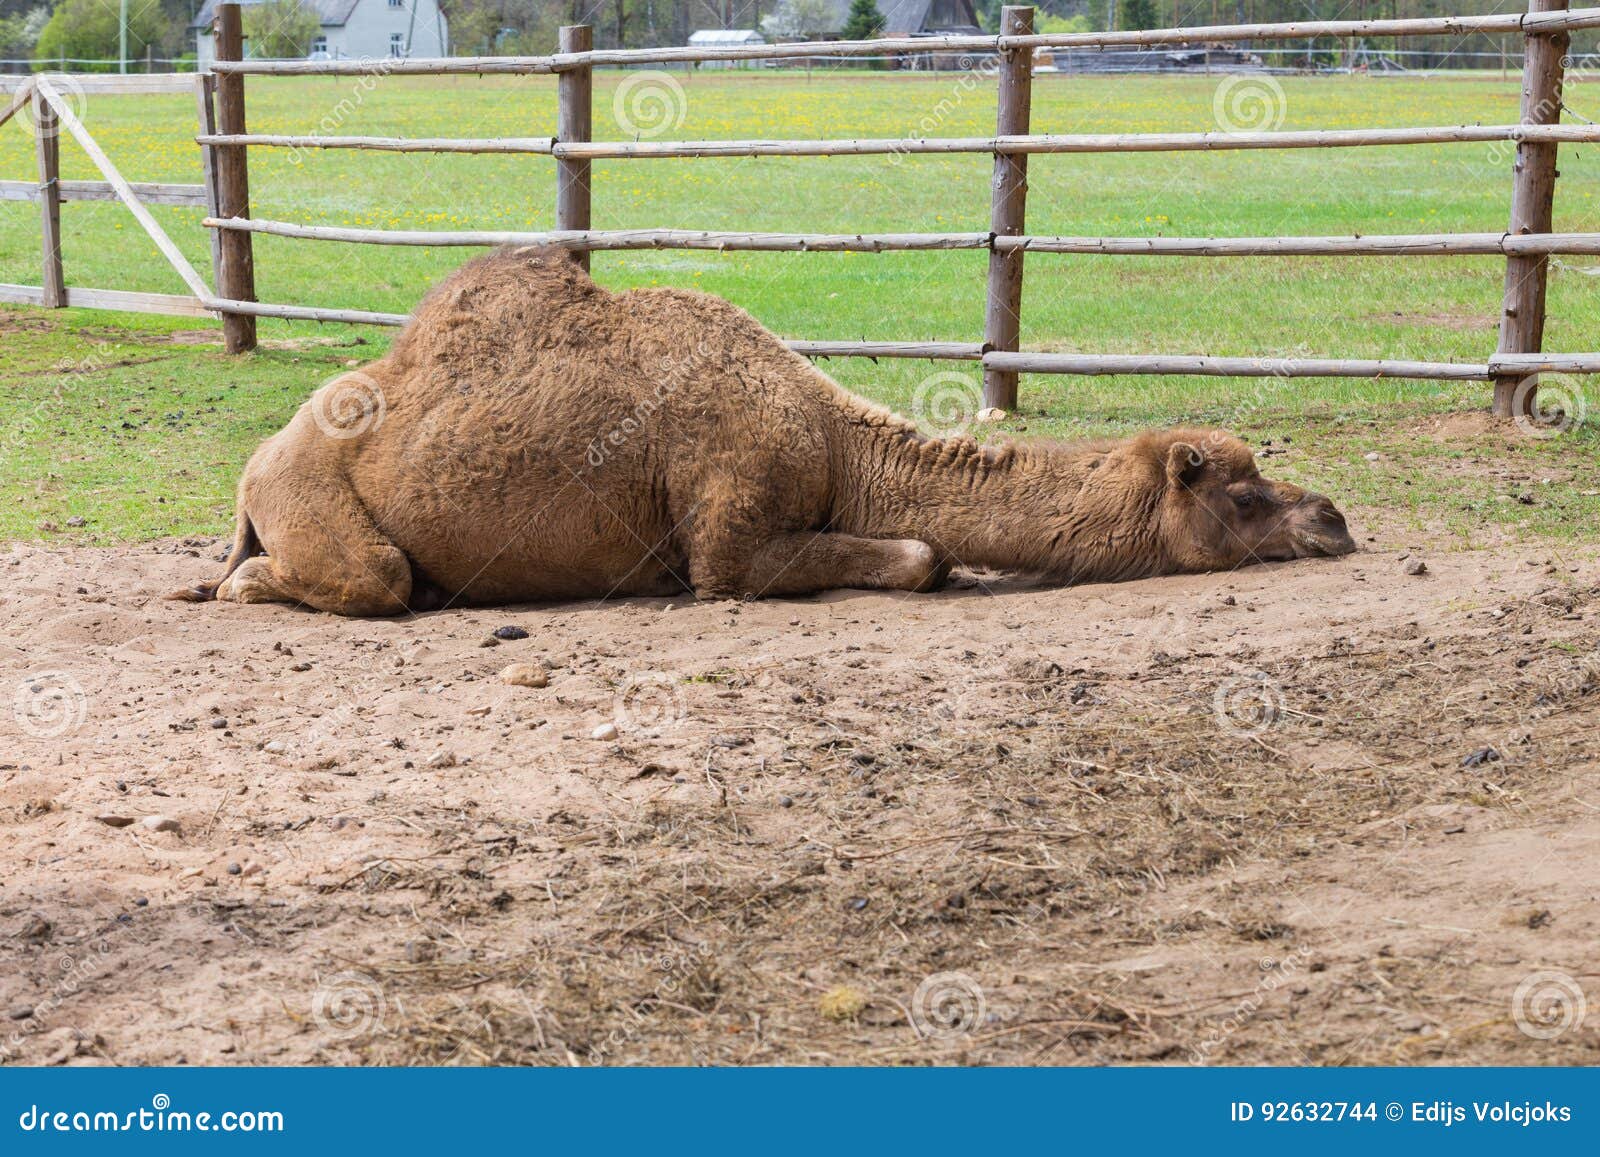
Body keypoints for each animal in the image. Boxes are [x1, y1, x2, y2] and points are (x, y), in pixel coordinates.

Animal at [171, 248, 1356, 617]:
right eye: (1243, 493)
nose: (1335, 518)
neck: (829, 436)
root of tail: (255, 464)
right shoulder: (728, 541)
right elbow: (918, 554)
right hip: (321, 507)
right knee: (370, 575)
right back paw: (243, 584)